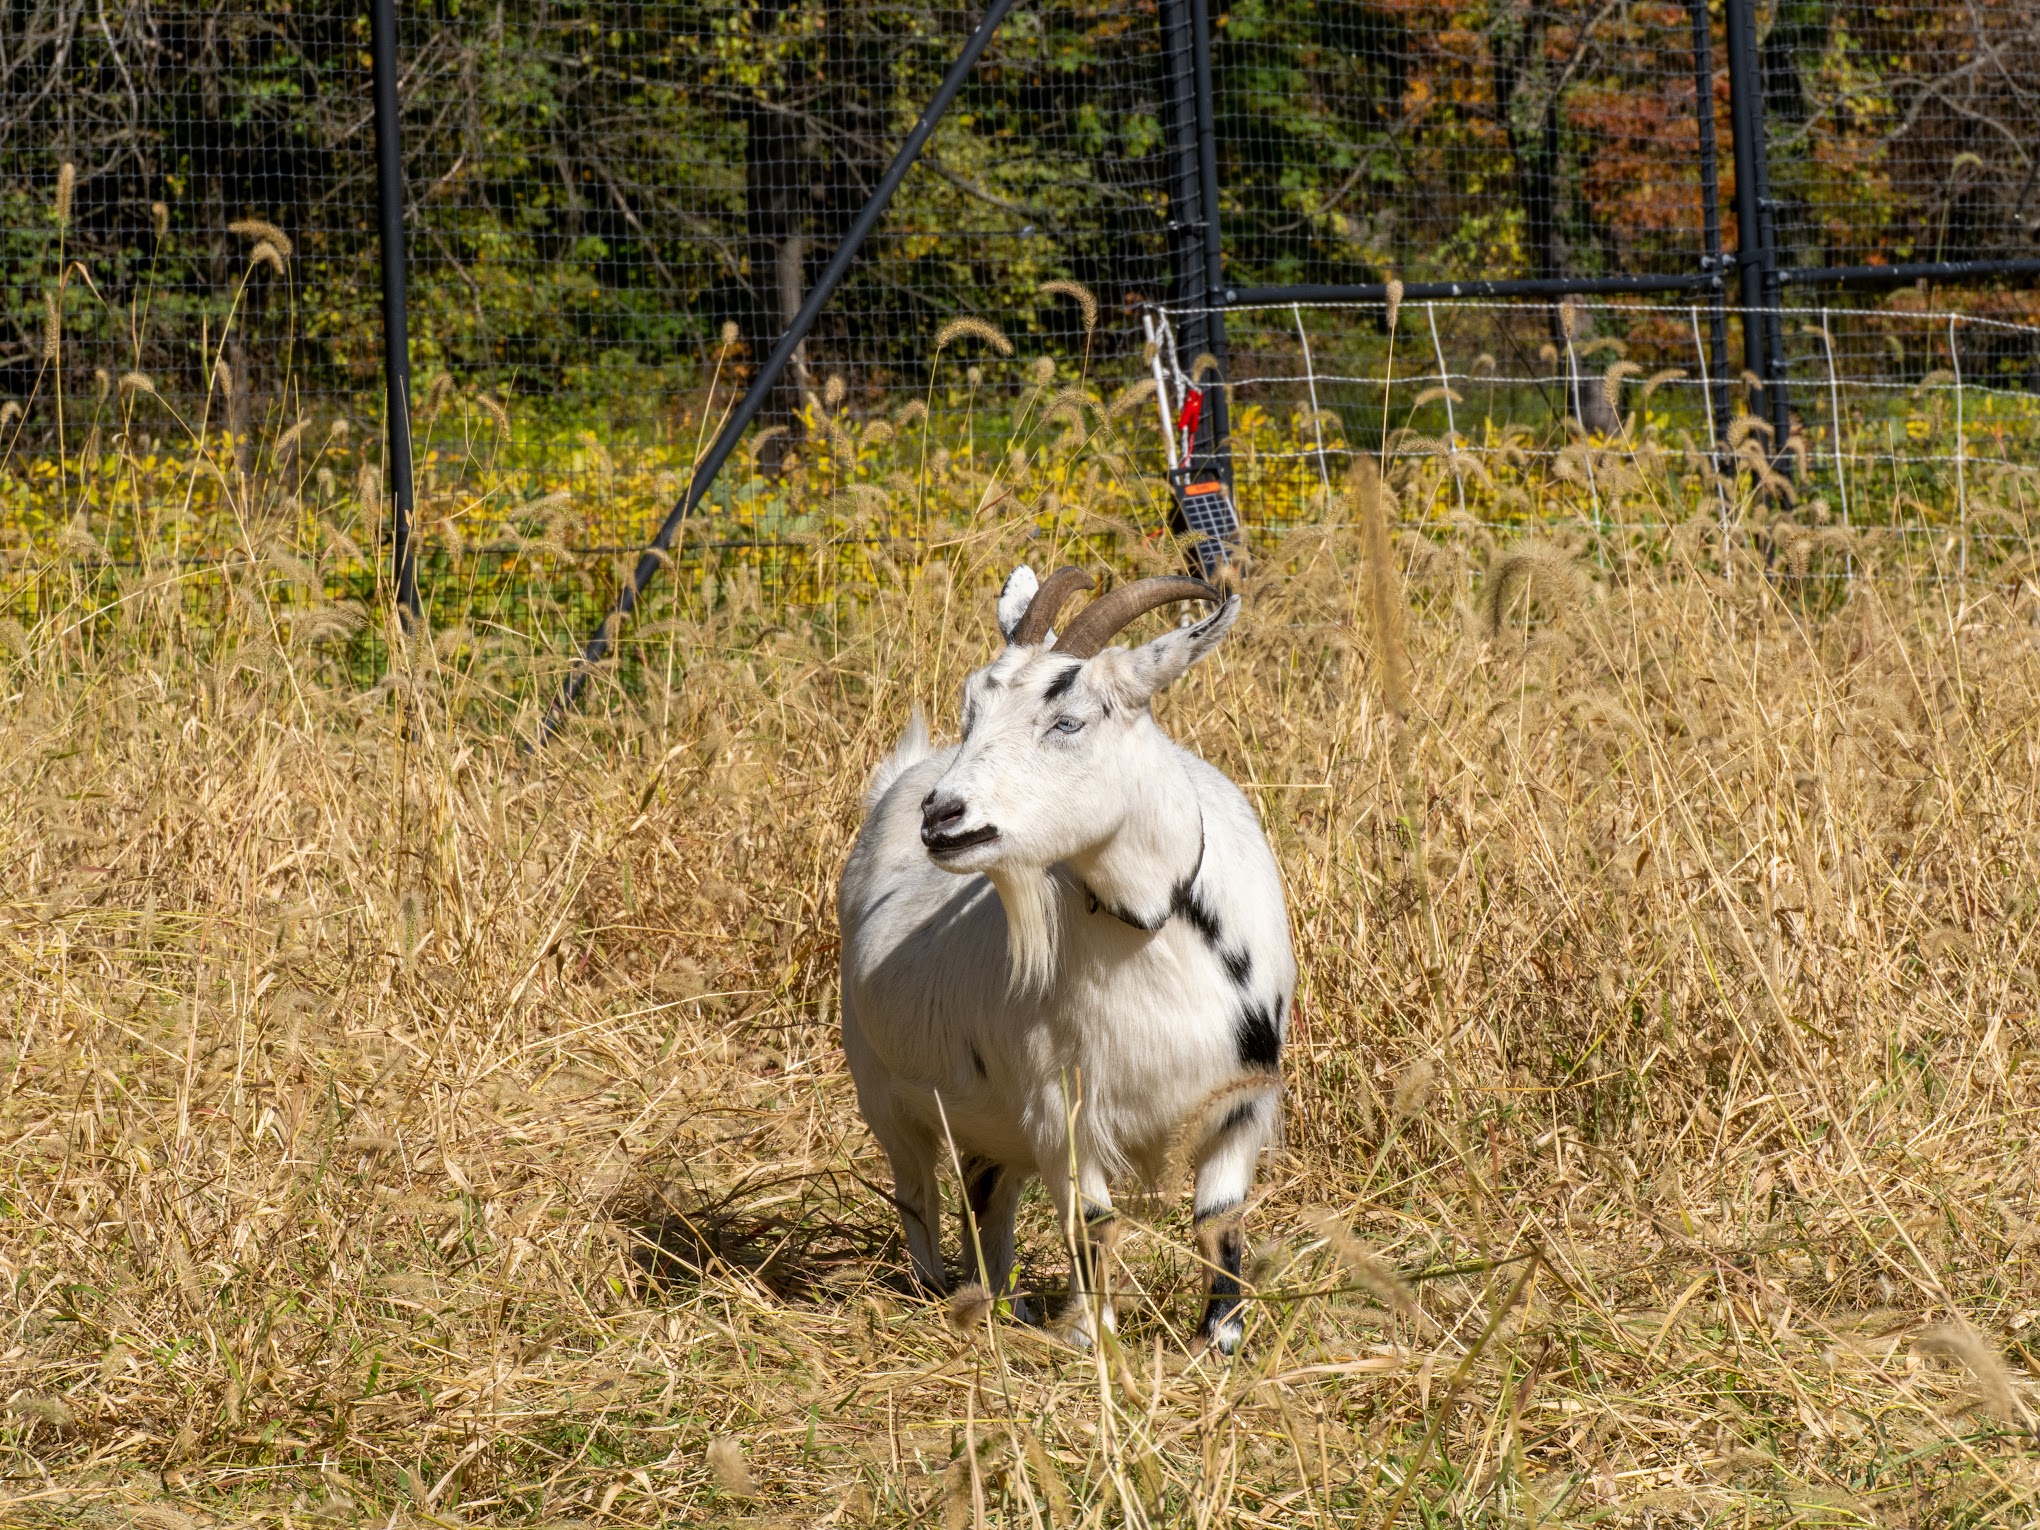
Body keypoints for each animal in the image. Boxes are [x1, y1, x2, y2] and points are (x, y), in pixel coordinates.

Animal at [837, 566, 1295, 1351]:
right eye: (972, 709)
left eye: (1069, 721)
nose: (943, 817)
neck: (1155, 926)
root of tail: (904, 775)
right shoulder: (1061, 1106)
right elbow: (1093, 1223)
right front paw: (1093, 1338)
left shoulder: (1242, 1096)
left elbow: (1218, 1220)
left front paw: (1220, 1339)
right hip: (881, 1086)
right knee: (918, 1188)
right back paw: (940, 1293)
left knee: (987, 1190)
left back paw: (1001, 1300)